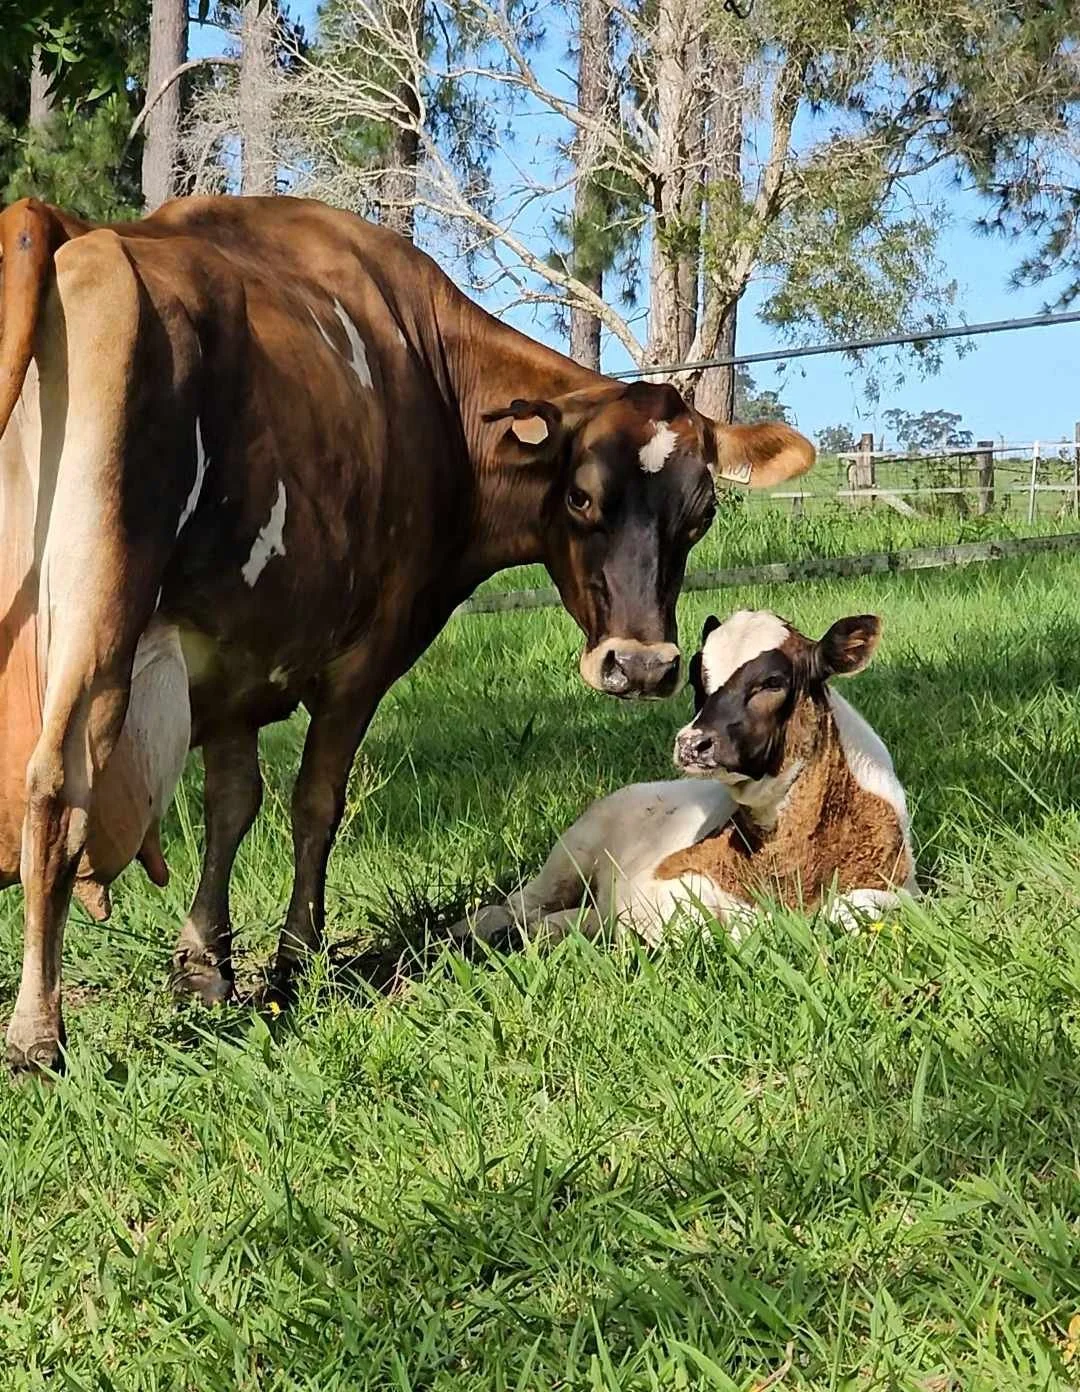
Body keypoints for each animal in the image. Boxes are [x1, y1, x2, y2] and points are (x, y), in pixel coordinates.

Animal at [0, 192, 814, 1071]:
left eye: (701, 515)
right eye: (581, 498)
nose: (642, 664)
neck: (436, 384)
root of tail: (64, 227)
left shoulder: (239, 652)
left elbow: (233, 804)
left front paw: (205, 967)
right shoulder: (364, 656)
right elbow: (316, 802)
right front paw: (294, 964)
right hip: (104, 604)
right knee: (54, 788)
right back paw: (37, 1035)